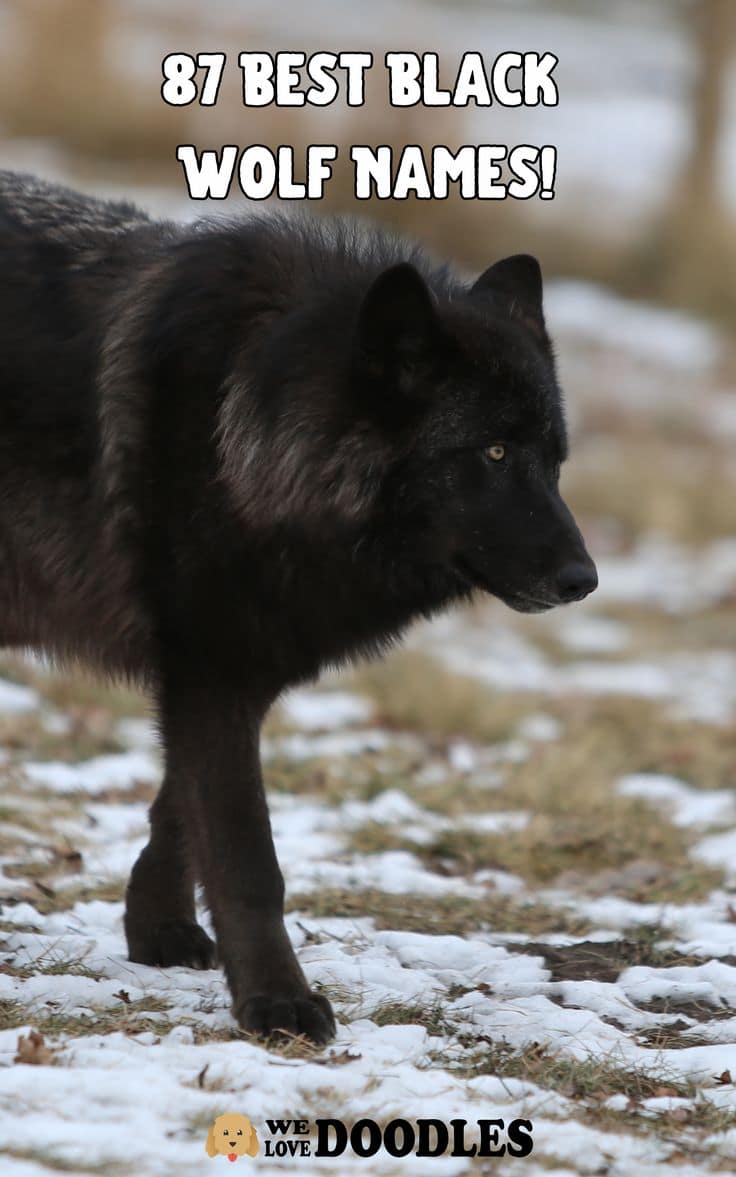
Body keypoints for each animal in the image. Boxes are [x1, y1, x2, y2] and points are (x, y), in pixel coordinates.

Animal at [0, 170, 596, 1043]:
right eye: (492, 451)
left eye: (554, 461)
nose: (584, 578)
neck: (252, 428)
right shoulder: (213, 667)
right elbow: (249, 857)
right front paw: (277, 1002)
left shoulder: (233, 663)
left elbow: (180, 809)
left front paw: (155, 928)